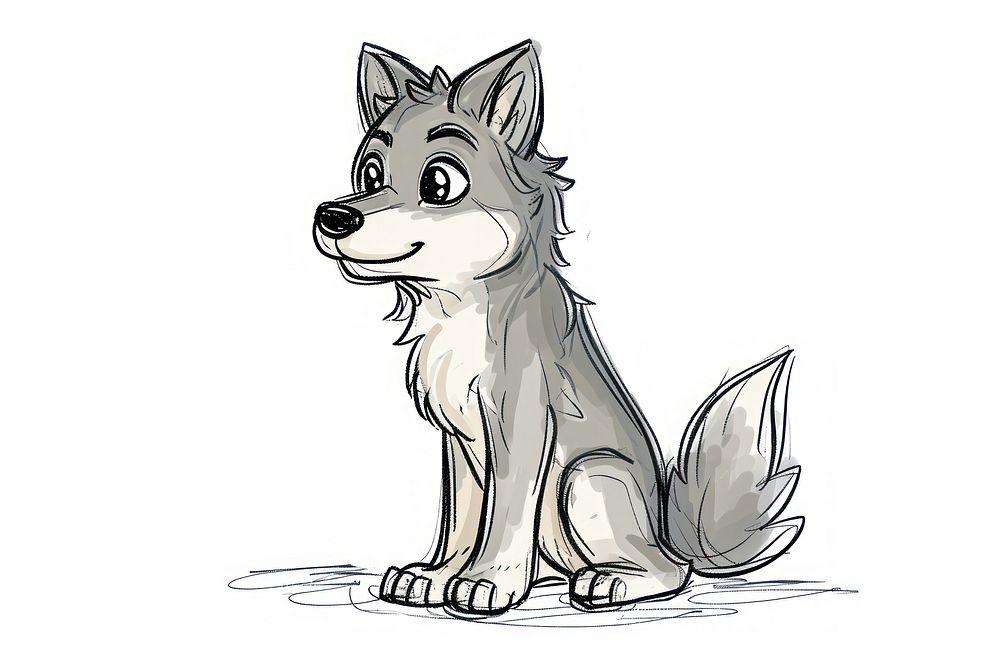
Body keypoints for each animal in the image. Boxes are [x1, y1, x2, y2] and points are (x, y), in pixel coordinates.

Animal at [312, 40, 804, 616]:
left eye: (439, 183)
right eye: (370, 174)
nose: (332, 216)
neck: (461, 311)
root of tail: (667, 533)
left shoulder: (519, 422)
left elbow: (502, 517)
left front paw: (486, 583)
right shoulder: (458, 440)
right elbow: (460, 519)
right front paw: (434, 577)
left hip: (586, 477)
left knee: (668, 571)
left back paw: (610, 582)